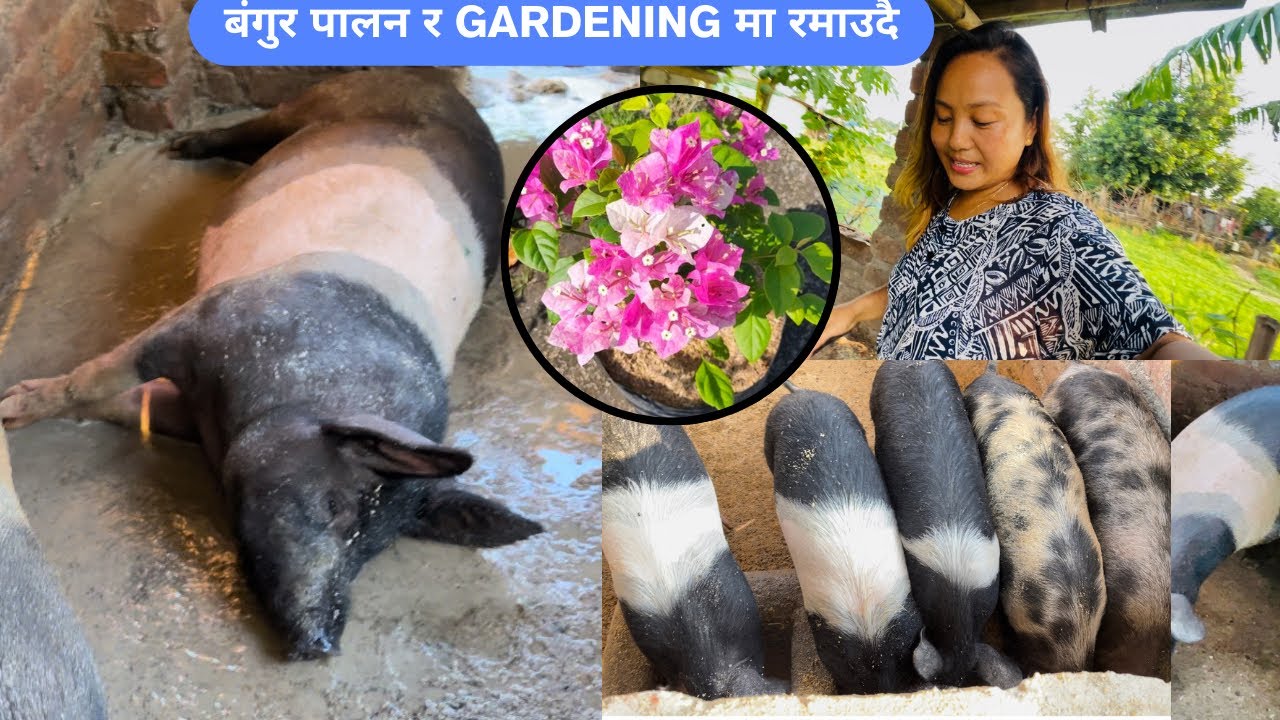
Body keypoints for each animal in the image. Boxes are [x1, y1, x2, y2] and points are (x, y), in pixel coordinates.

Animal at [0, 70, 543, 659]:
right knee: (251, 131)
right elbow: (95, 377)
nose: (321, 644)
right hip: (315, 105)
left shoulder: (194, 412)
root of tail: (435, 85)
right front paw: (11, 408)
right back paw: (177, 149)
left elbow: (126, 404)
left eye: (377, 546)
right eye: (334, 506)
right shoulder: (206, 319)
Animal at [765, 388, 925, 694]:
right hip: (770, 435)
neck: (865, 615)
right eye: (850, 668)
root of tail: (801, 394)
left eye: (900, 656)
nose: (883, 690)